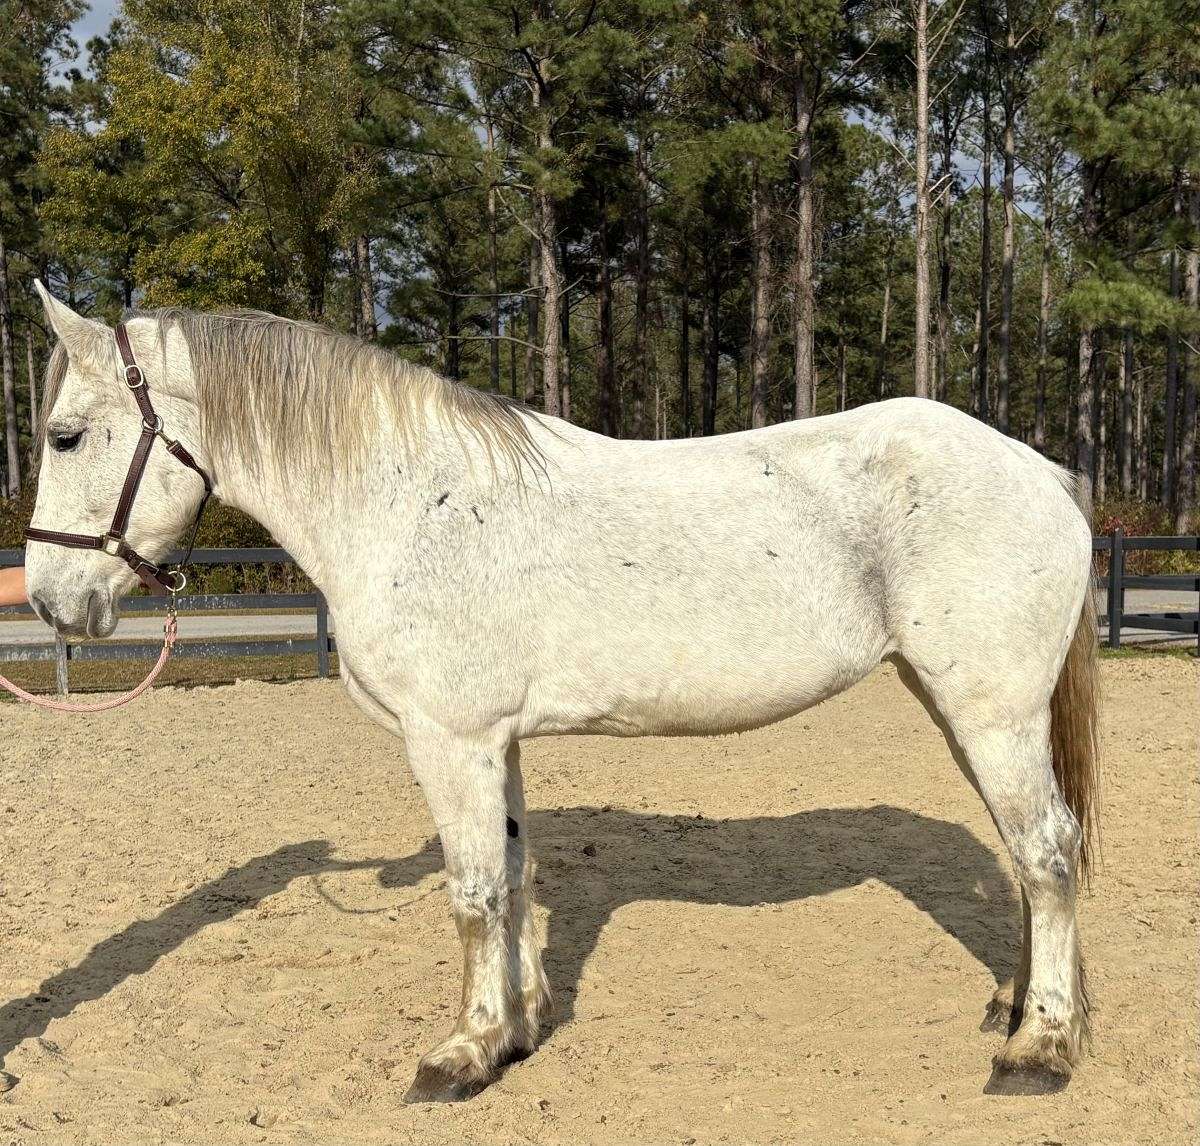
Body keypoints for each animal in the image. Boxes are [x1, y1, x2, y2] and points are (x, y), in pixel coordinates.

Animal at [23, 283, 1099, 1102]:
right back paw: (1021, 1006)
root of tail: (1042, 470)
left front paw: (461, 1055)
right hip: (957, 706)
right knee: (1027, 854)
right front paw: (519, 1026)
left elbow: (470, 892)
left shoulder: (448, 738)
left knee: (1047, 853)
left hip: (990, 713)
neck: (410, 502)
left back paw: (1040, 1048)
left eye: (67, 436)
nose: (49, 601)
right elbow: (515, 874)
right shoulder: (494, 741)